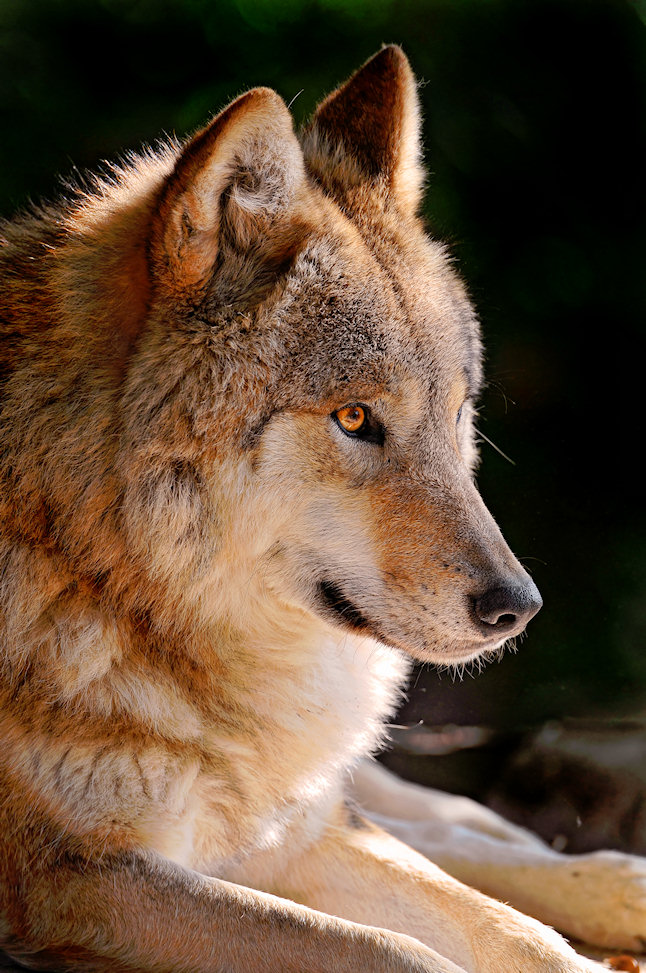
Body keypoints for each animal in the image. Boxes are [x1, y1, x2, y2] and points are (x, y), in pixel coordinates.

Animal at [1, 45, 644, 972]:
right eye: (353, 418)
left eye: (458, 412)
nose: (516, 608)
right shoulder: (79, 879)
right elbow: (399, 949)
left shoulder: (286, 835)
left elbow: (513, 931)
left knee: (456, 827)